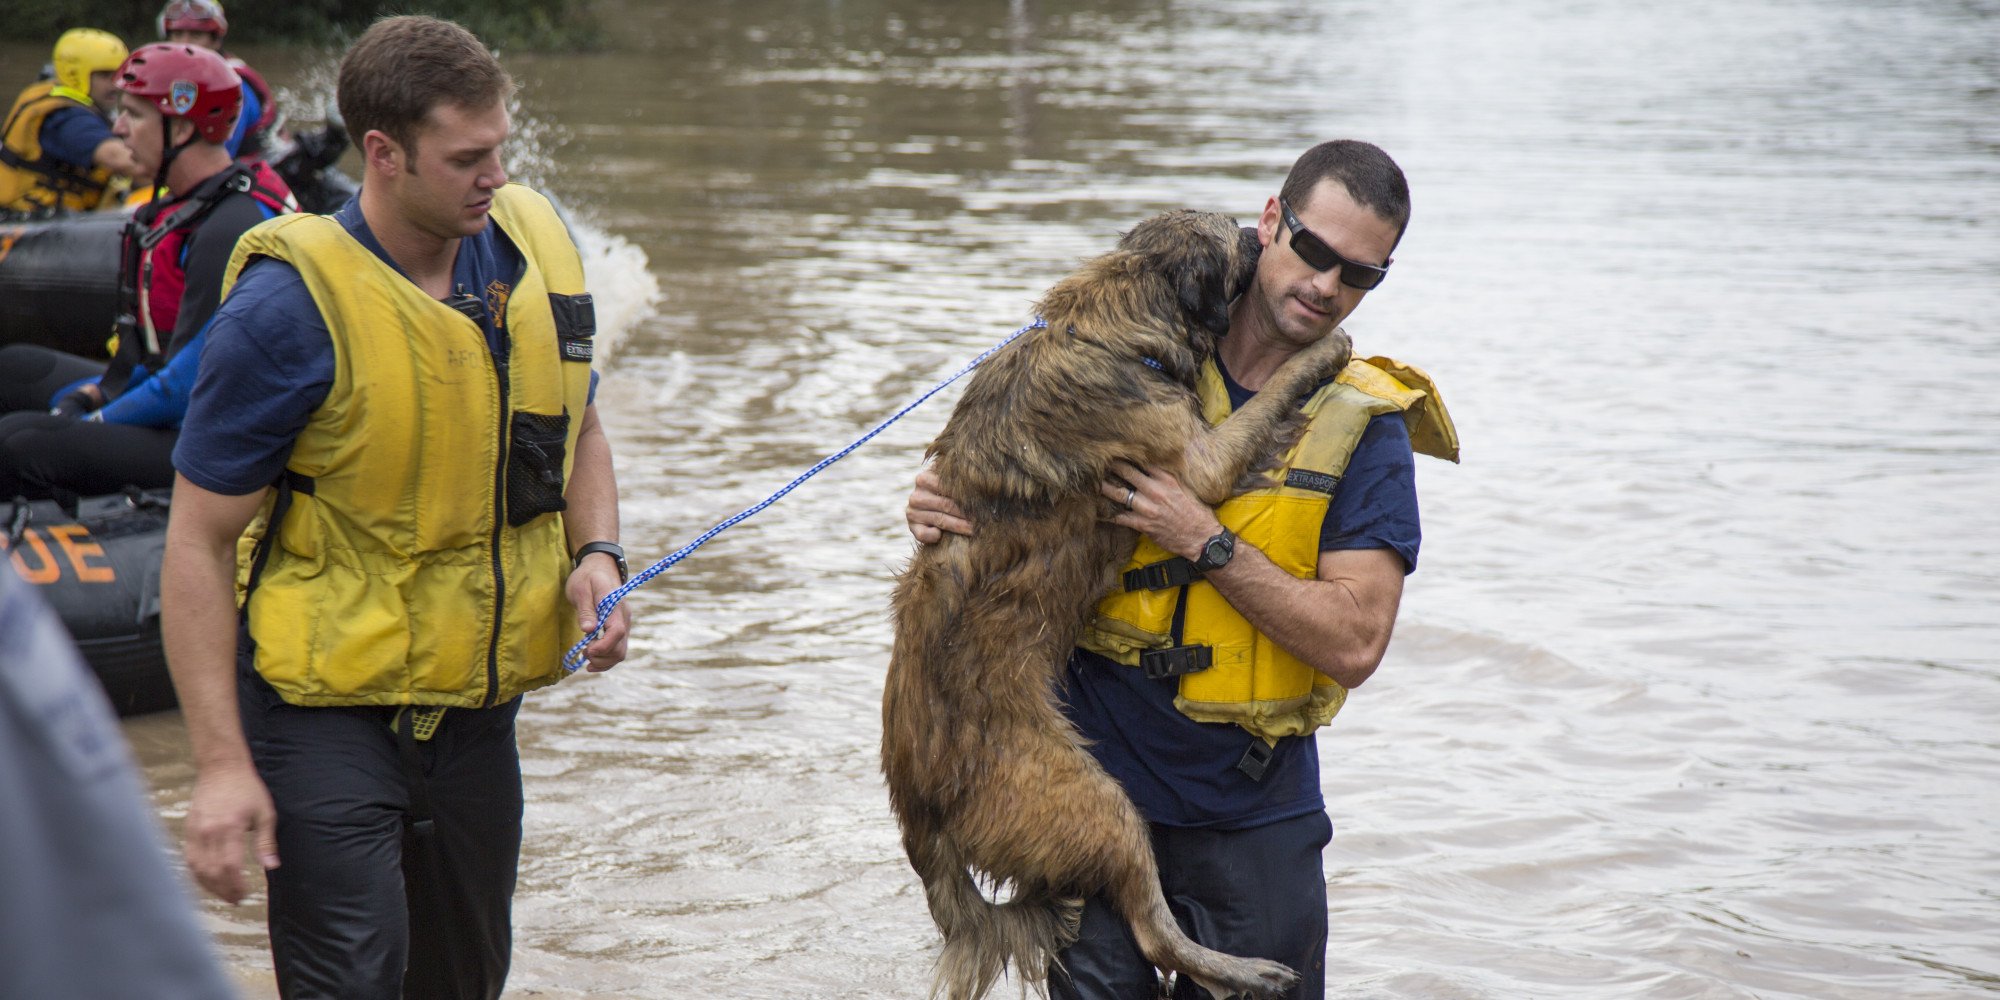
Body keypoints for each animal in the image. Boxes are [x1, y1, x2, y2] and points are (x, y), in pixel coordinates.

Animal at [884, 207, 1352, 996]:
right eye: (1234, 233)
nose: (1261, 235)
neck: (1108, 326)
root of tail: (918, 807)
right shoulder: (1197, 462)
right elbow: (1274, 392)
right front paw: (1323, 350)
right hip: (1098, 804)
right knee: (1155, 929)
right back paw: (1245, 968)